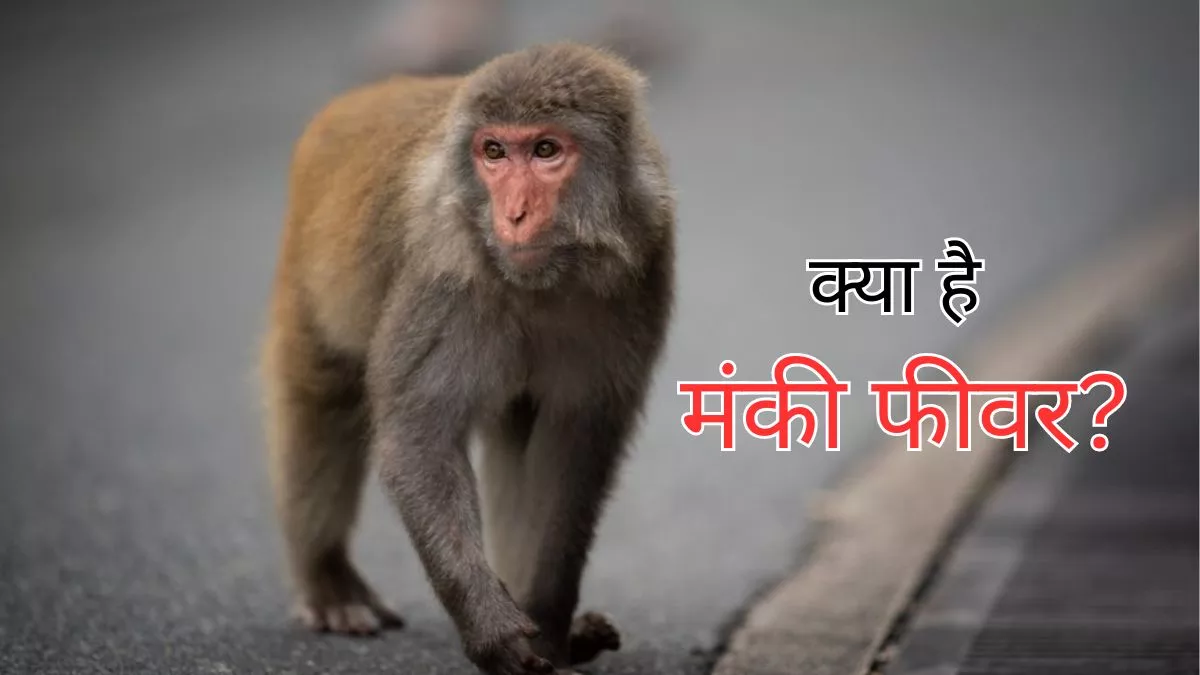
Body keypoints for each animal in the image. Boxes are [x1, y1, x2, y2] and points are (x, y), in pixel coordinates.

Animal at [260, 43, 674, 675]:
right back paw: (329, 581)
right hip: (308, 283)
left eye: (546, 150)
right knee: (322, 398)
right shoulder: (444, 275)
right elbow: (420, 437)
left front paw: (548, 624)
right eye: (494, 152)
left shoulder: (643, 259)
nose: (515, 215)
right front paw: (490, 628)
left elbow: (573, 444)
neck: (543, 281)